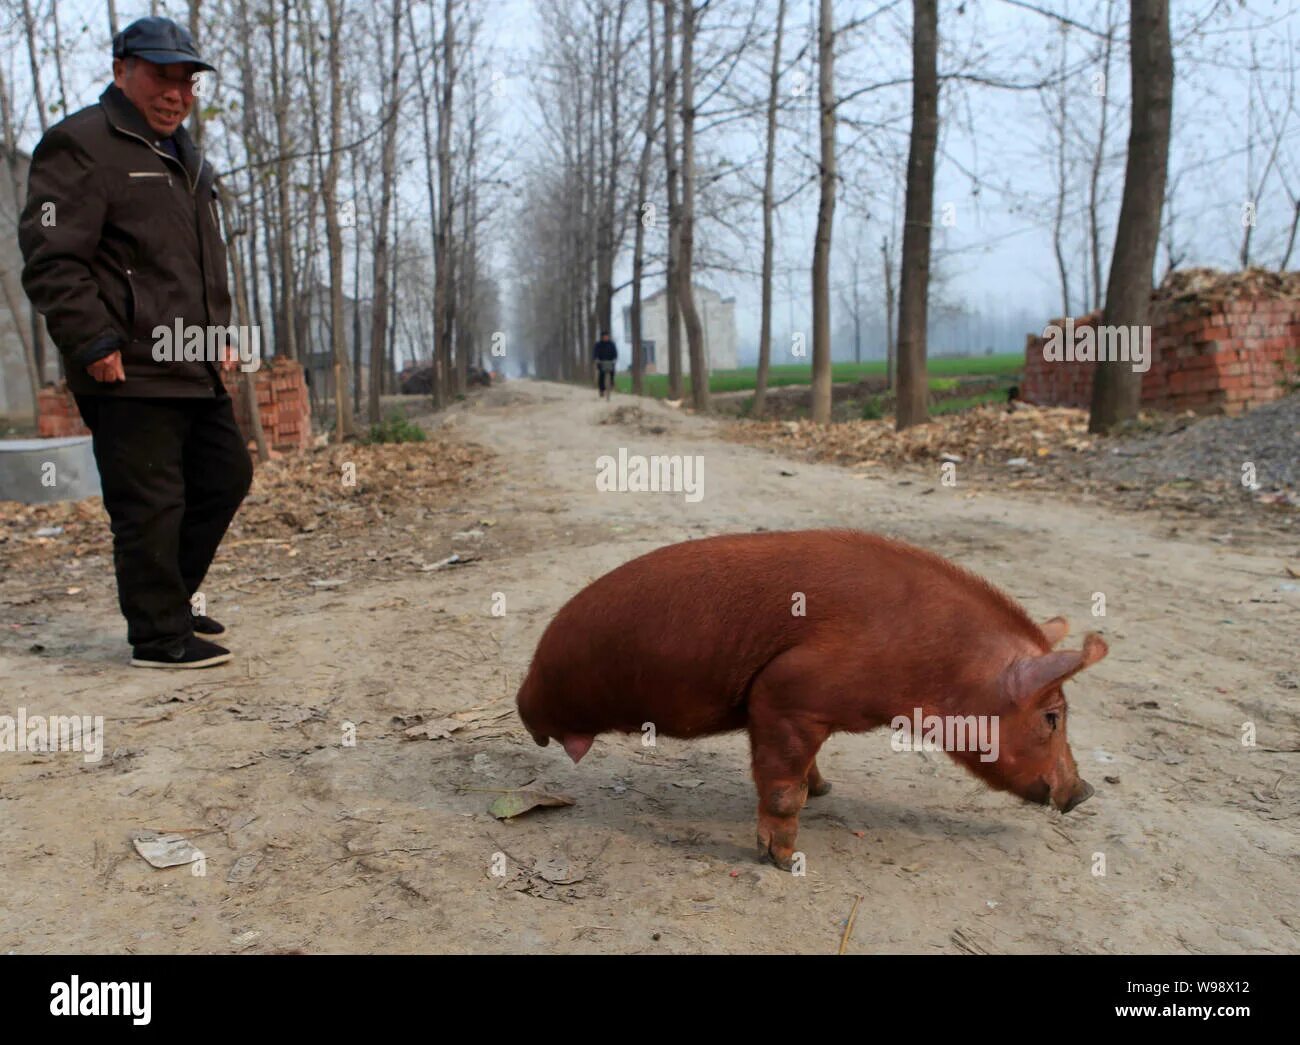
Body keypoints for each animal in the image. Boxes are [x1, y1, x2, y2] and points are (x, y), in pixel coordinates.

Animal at [512, 527, 1102, 868]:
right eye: (1053, 716)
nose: (1084, 792)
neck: (933, 664)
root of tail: (525, 685)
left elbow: (809, 769)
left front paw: (825, 789)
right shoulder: (785, 695)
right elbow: (782, 790)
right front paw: (782, 859)